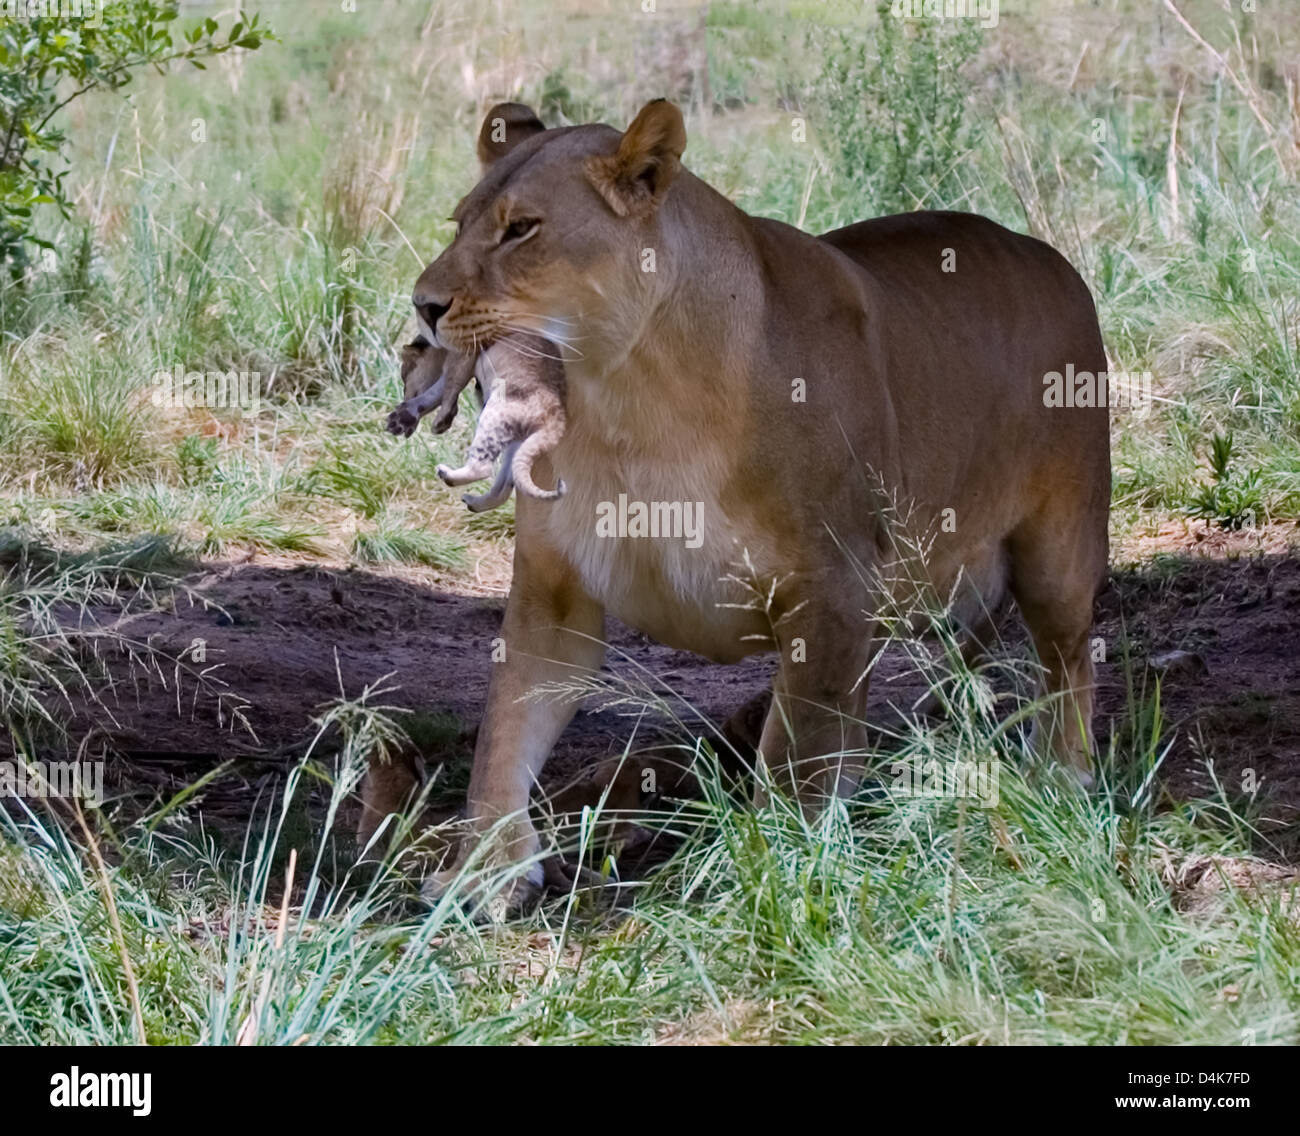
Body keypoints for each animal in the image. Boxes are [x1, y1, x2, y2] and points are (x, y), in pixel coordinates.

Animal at [360, 99, 1110, 909]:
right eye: (458, 222)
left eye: (522, 228)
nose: (424, 307)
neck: (631, 397)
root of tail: (1047, 255)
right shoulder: (554, 592)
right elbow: (507, 727)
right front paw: (484, 868)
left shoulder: (831, 586)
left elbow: (795, 749)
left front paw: (779, 864)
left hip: (1058, 552)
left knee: (1068, 663)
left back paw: (1061, 778)